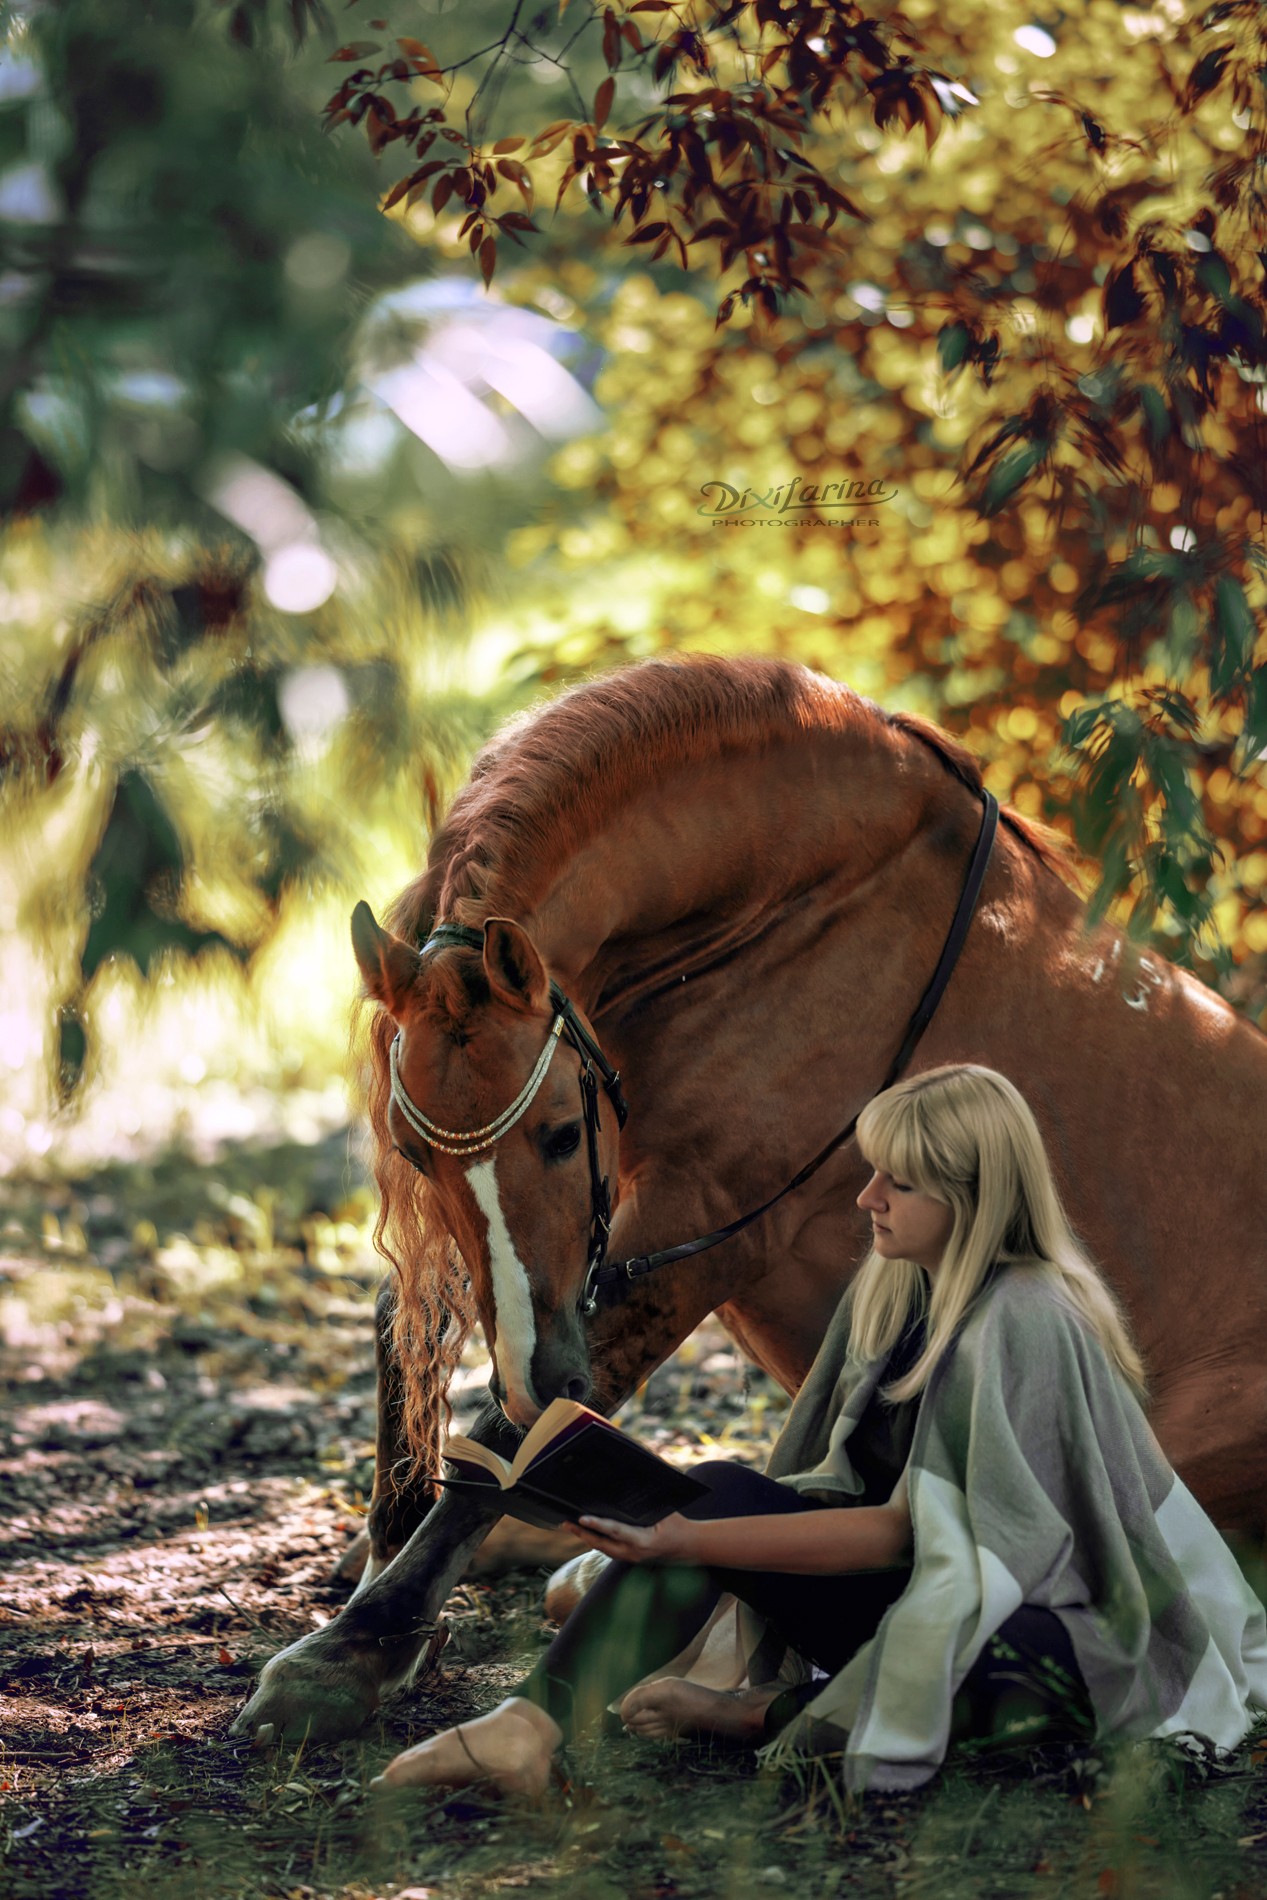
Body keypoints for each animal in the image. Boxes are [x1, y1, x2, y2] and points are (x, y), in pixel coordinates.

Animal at [235, 661, 1267, 1740]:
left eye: (560, 1131)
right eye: (411, 1154)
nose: (536, 1367)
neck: (793, 907)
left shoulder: (701, 1226)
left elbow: (512, 1435)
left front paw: (351, 1650)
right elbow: (414, 1336)